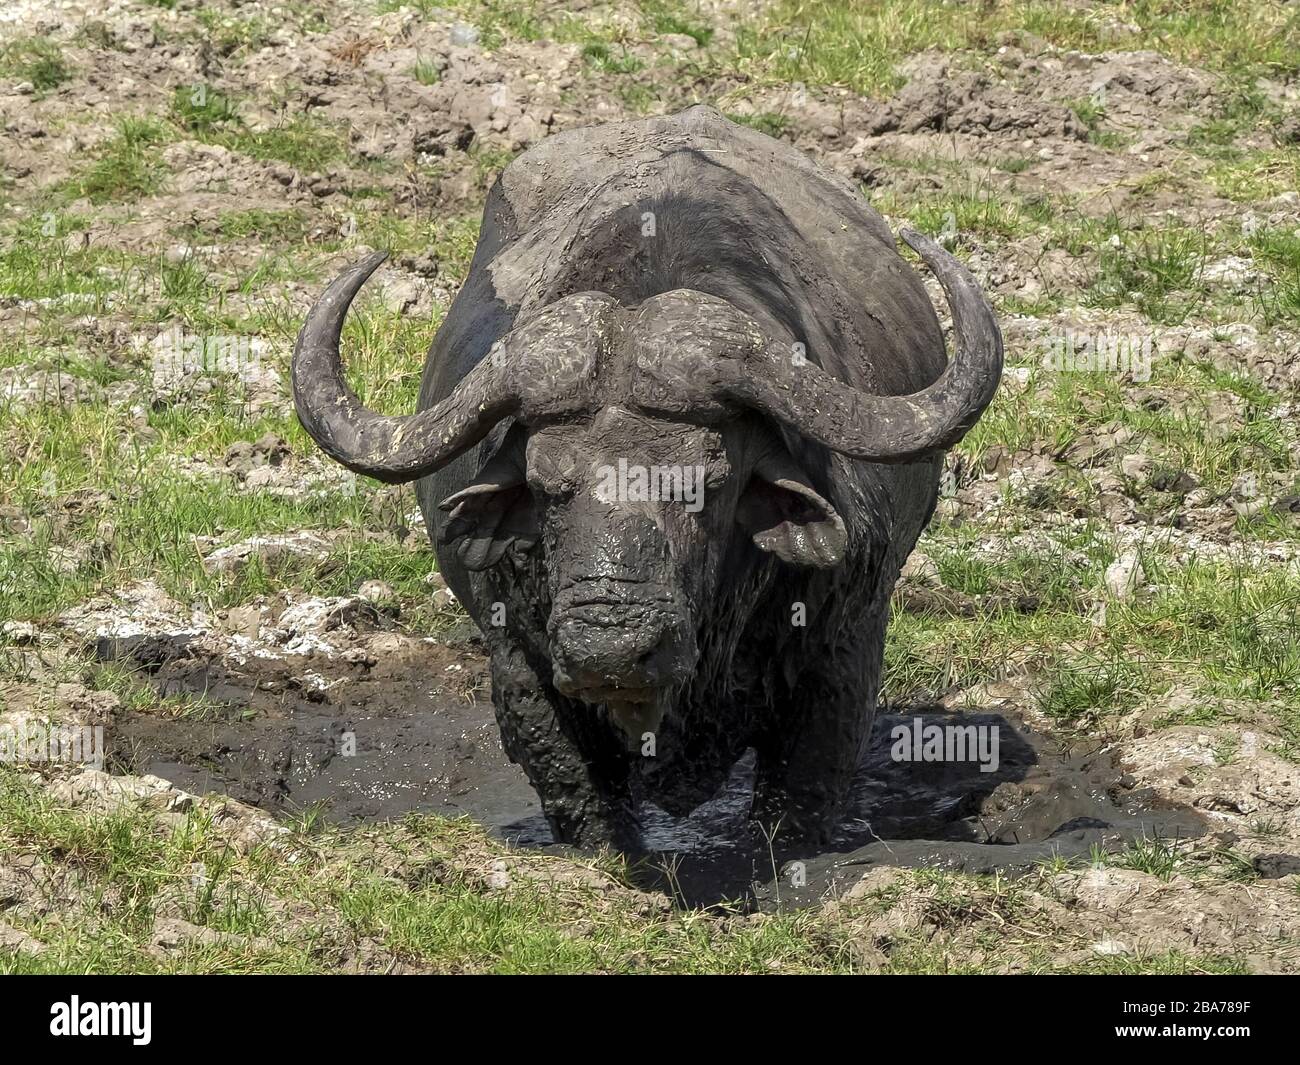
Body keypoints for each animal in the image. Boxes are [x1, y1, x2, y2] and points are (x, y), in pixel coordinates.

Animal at [292, 105, 1003, 849]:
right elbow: (583, 798)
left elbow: (796, 806)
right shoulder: (519, 667)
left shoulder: (843, 652)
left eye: (708, 484)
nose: (610, 649)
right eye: (544, 485)